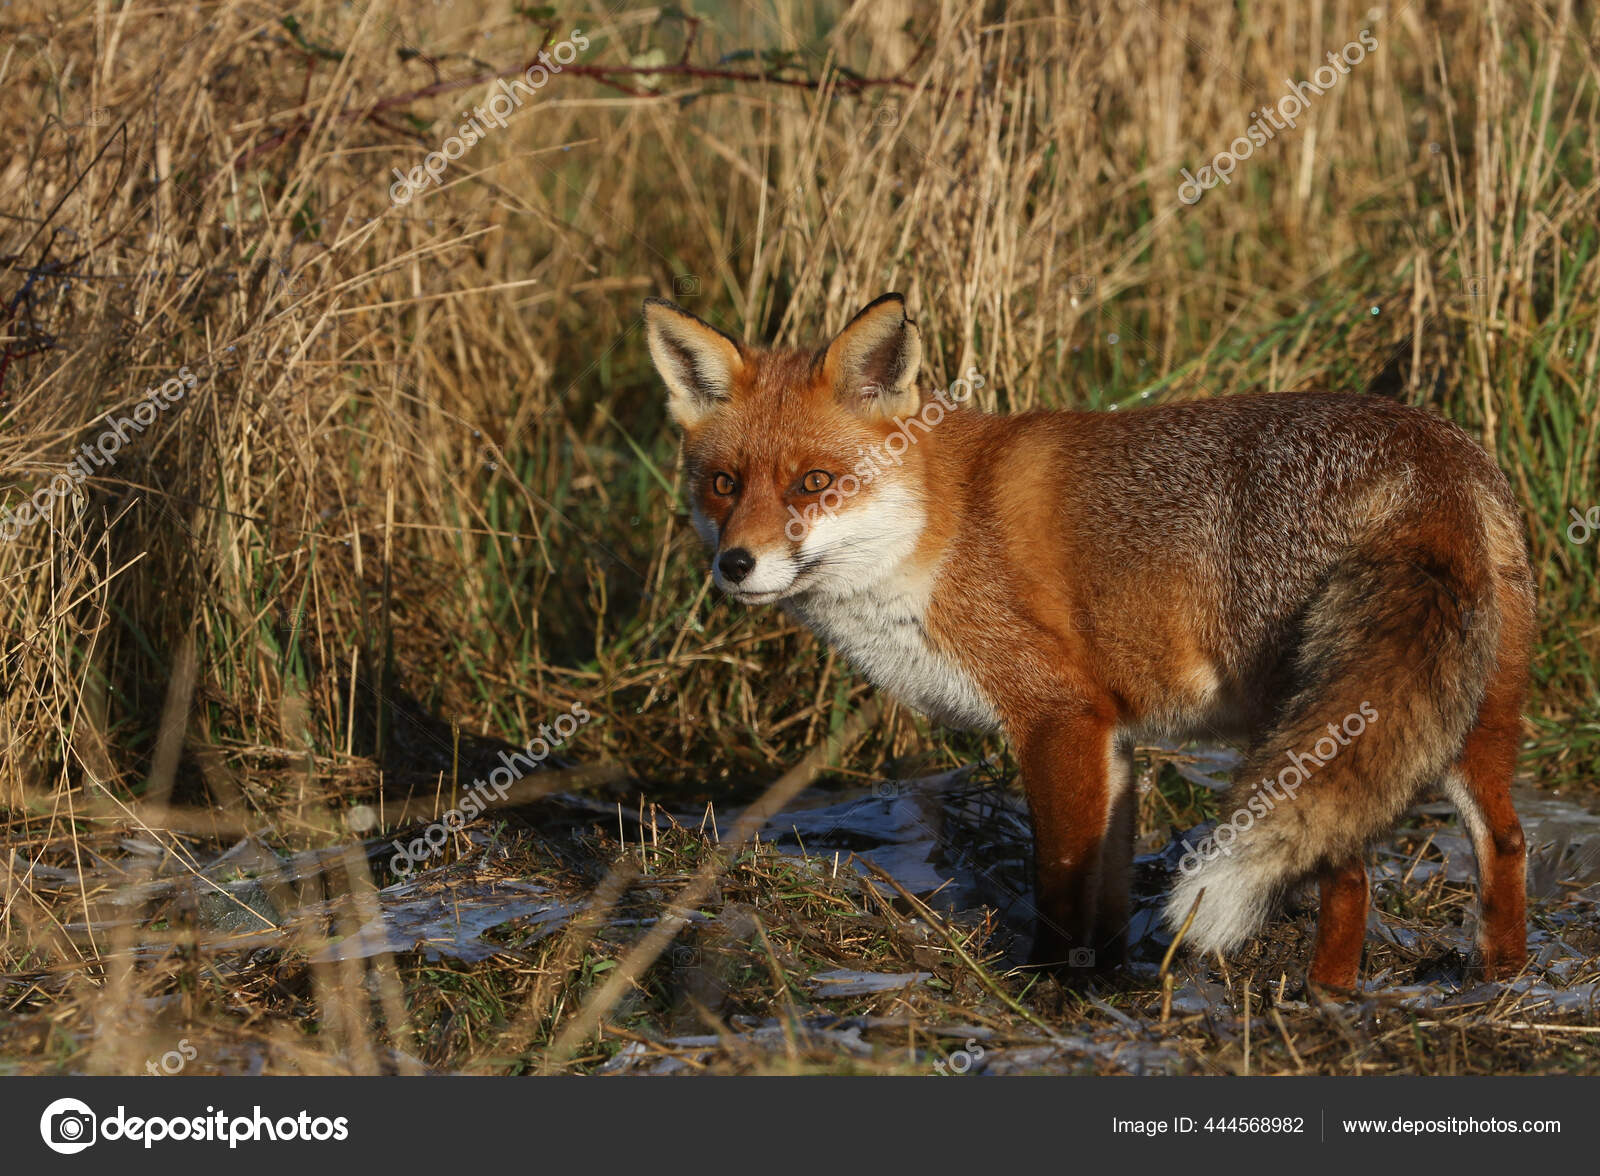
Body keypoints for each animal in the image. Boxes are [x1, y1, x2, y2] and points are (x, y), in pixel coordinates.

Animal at [642, 291, 1535, 990]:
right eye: (723, 484)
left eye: (814, 484)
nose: (735, 563)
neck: (937, 529)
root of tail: (1424, 456)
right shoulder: (1113, 732)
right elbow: (1104, 883)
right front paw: (1105, 974)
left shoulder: (1057, 714)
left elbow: (1062, 876)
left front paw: (1050, 986)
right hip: (1459, 715)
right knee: (1504, 839)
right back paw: (1496, 981)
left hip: (1309, 717)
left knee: (1347, 870)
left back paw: (1326, 997)